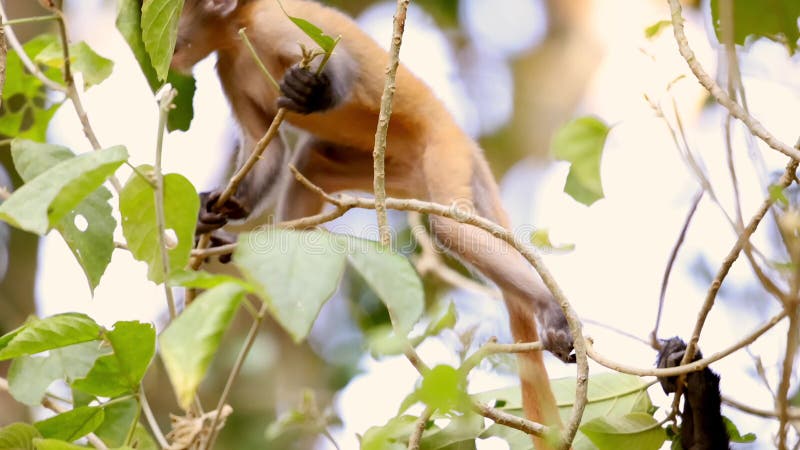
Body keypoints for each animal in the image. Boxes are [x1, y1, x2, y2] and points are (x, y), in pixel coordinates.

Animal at [171, 1, 574, 446]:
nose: (169, 55)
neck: (239, 28)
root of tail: (463, 138)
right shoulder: (227, 64)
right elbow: (271, 150)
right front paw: (212, 209)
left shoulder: (272, 25)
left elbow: (338, 65)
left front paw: (310, 91)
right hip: (396, 166)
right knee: (307, 165)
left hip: (442, 148)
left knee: (453, 229)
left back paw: (548, 307)